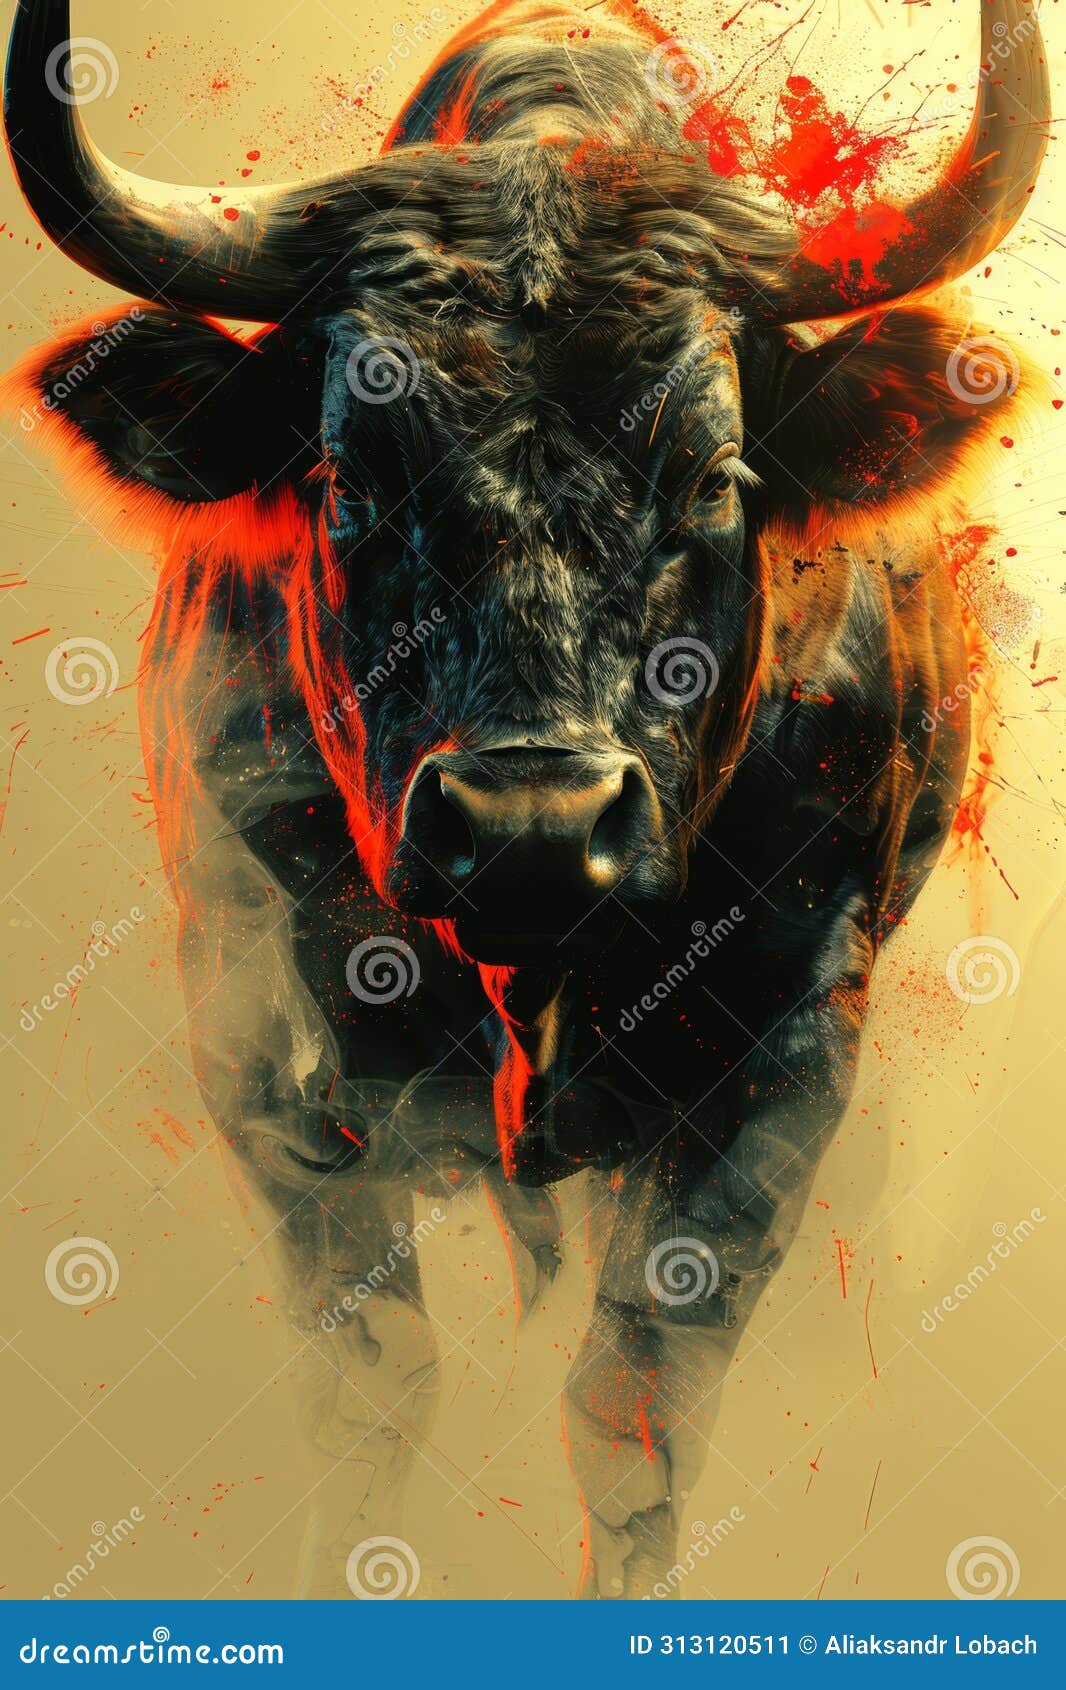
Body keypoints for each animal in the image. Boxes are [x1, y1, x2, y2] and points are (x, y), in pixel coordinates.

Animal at [4, 0, 1048, 1599]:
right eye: (348, 472)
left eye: (712, 474)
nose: (531, 830)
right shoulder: (256, 1031)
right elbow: (374, 1388)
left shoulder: (788, 1042)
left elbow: (632, 1412)